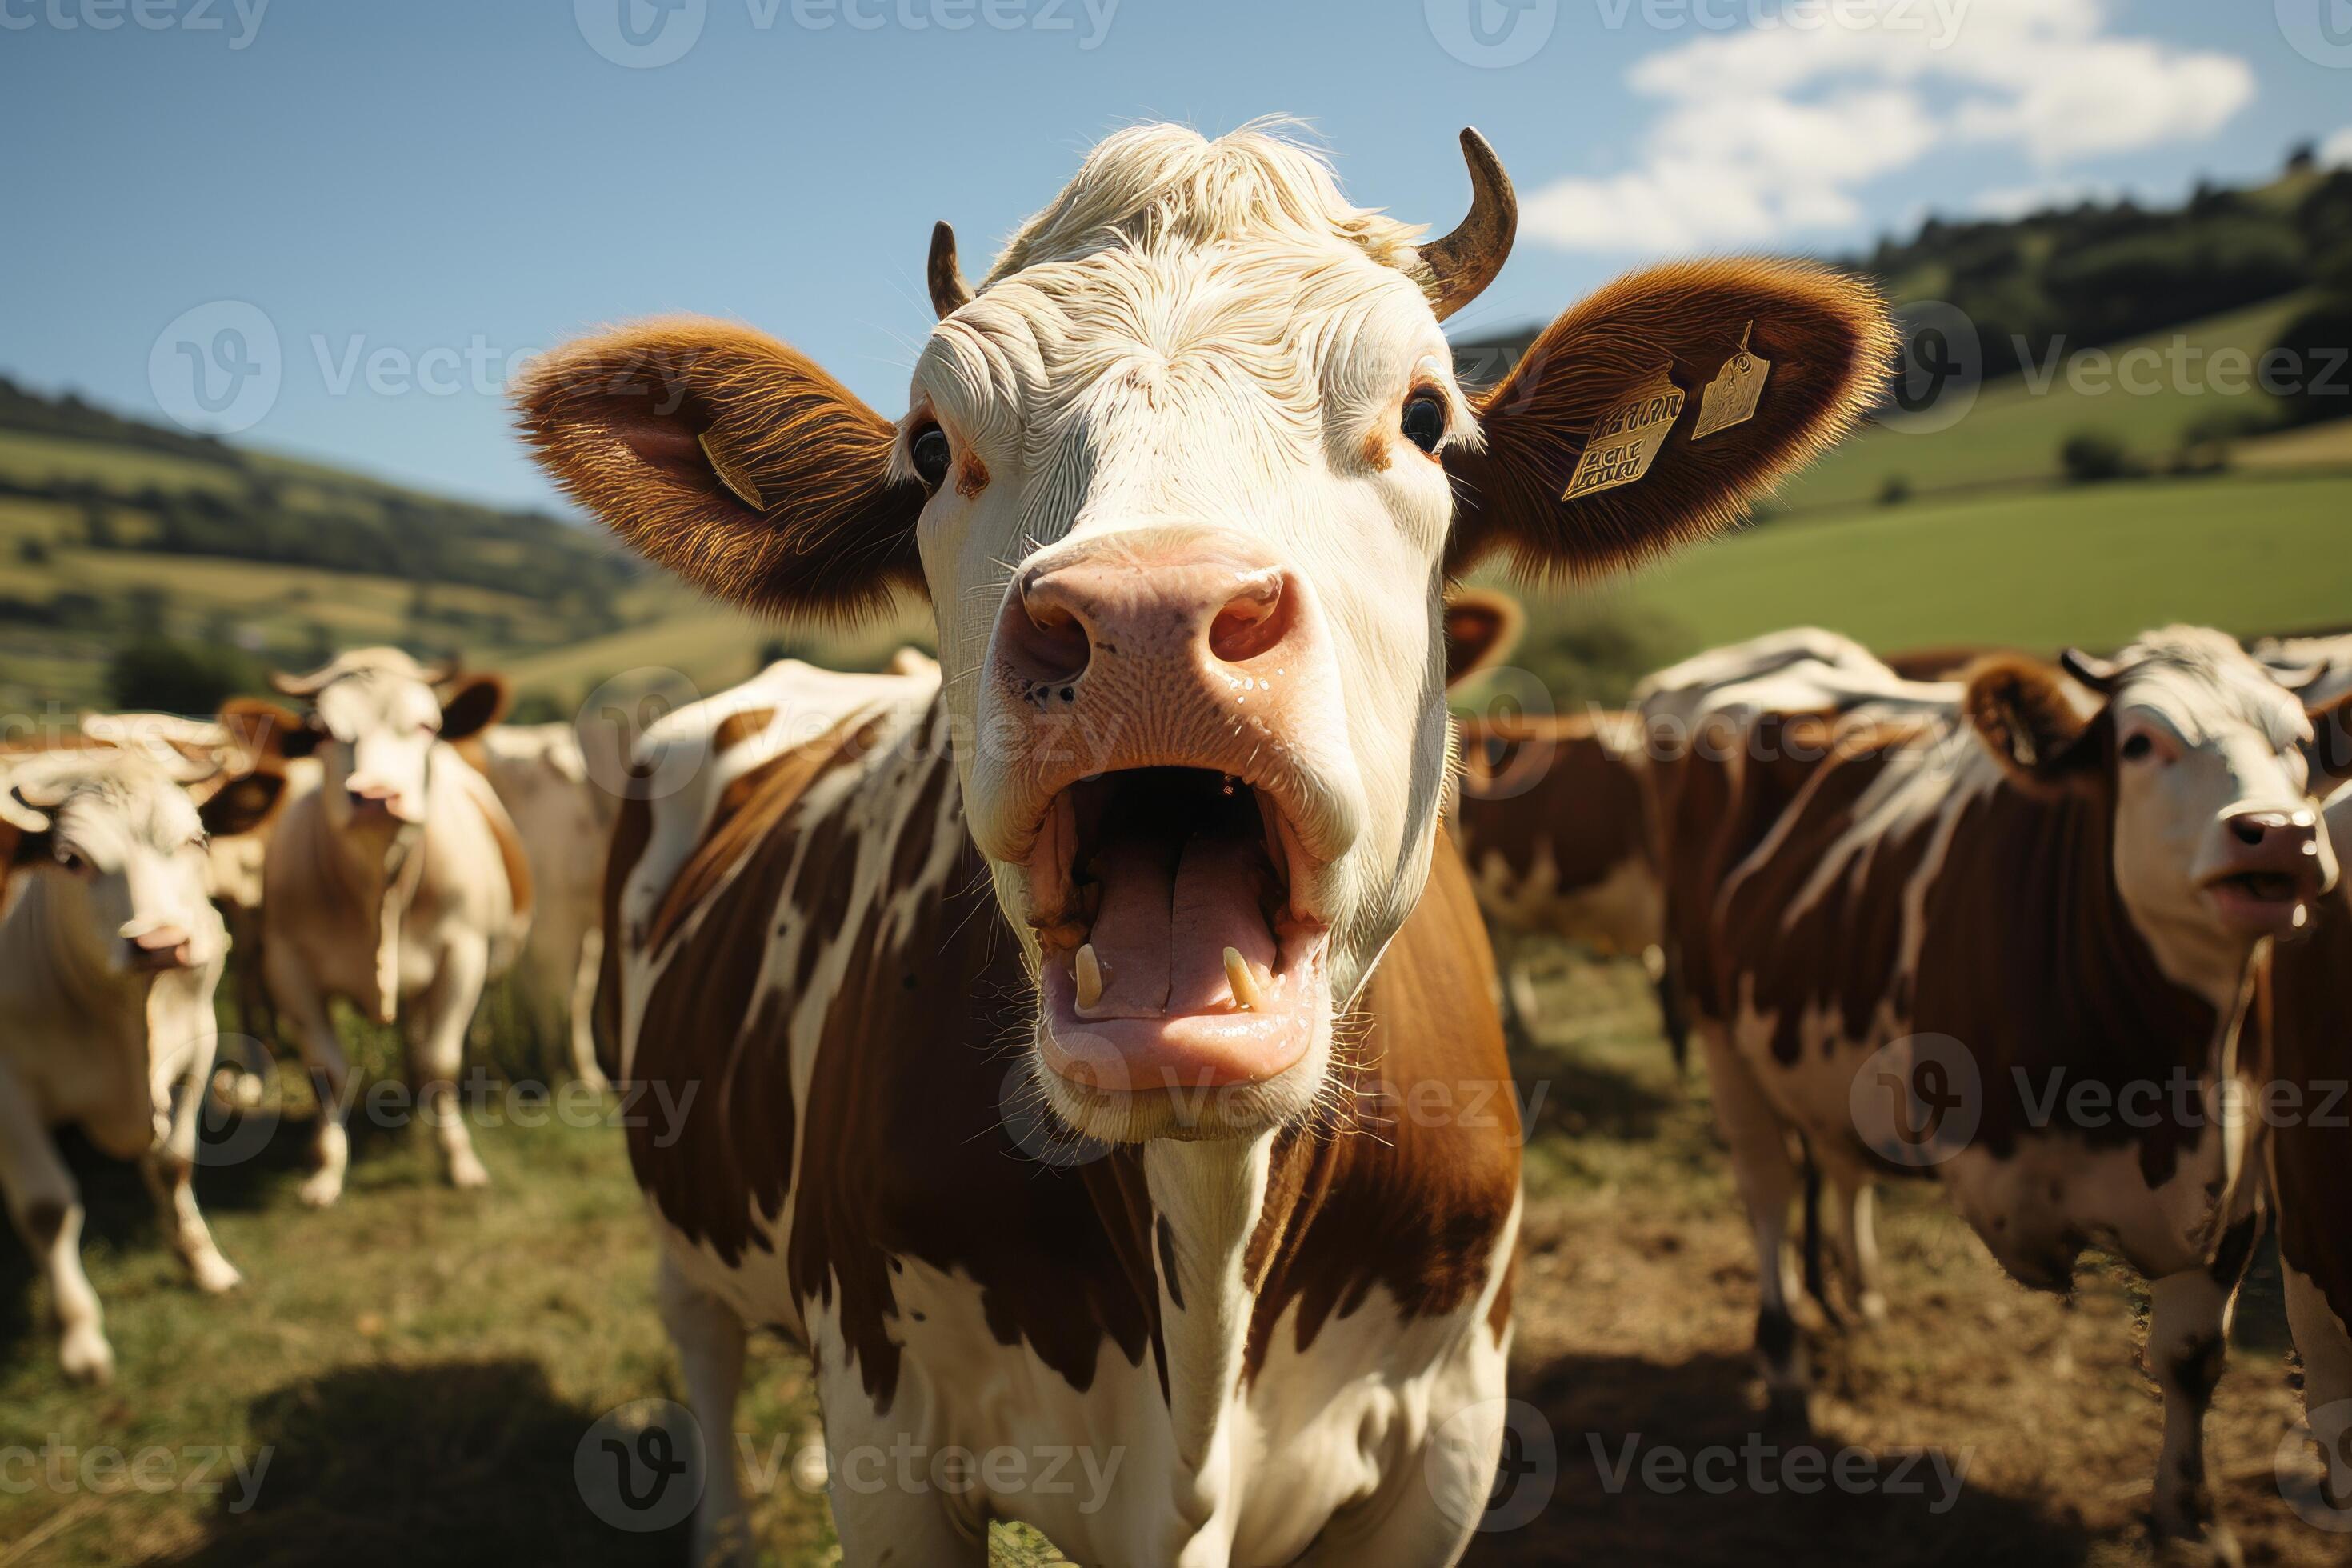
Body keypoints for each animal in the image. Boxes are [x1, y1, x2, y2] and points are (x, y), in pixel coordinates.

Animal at [0, 745, 283, 1382]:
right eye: (70, 859)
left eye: (198, 839)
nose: (160, 943)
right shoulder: (10, 1093)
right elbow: (47, 1207)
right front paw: (79, 1336)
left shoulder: (197, 1046)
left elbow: (173, 1163)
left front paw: (204, 1265)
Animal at [224, 650, 531, 1206]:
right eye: (322, 731)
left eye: (427, 725)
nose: (375, 795)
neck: (378, 892)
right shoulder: (290, 969)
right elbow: (328, 1071)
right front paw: (326, 1170)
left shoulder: (463, 956)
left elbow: (441, 1061)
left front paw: (458, 1159)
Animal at [517, 122, 1893, 1564]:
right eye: (932, 447)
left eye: (1423, 416)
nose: (1145, 615)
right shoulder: (890, 1450)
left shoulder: (1448, 1443)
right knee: (702, 1342)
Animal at [1662, 626, 2340, 1563]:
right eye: (2139, 743)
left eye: (2299, 745)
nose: (2277, 835)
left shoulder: (2233, 1191)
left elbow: (2190, 1358)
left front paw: (2190, 1523)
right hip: (1721, 1028)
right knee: (1766, 1192)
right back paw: (1787, 1363)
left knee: (1839, 1168)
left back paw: (1862, 1300)